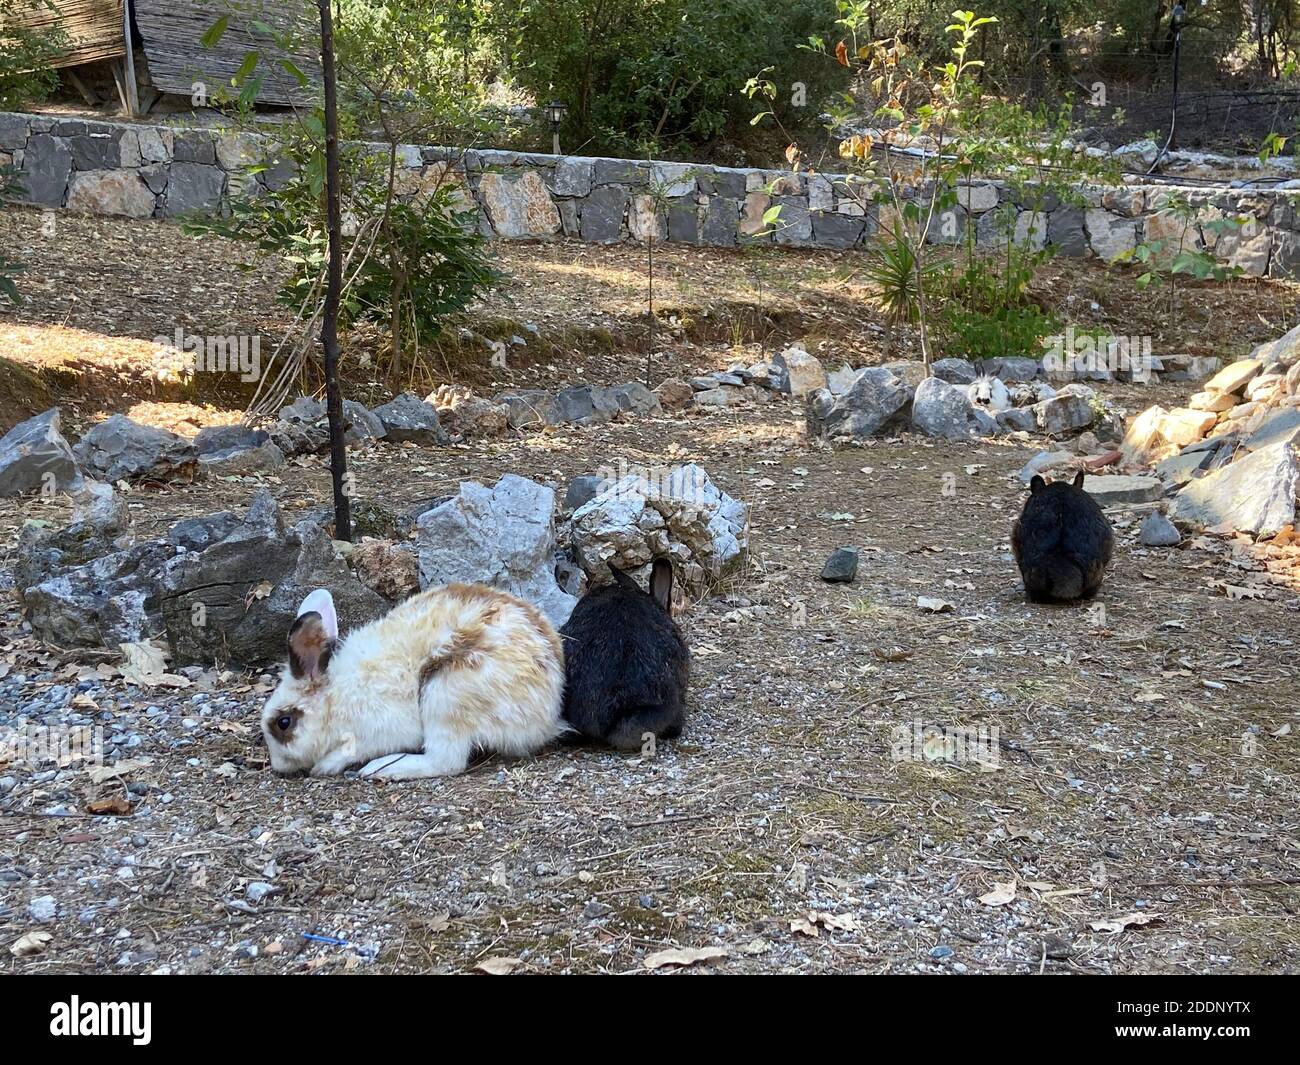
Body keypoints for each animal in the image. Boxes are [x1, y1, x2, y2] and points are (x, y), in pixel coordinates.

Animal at [261, 583, 566, 779]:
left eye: (283, 723)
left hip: (444, 694)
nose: (278, 766)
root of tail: (546, 715)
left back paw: (383, 769)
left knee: (446, 762)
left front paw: (325, 765)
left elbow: (352, 748)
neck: (334, 698)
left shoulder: (379, 729)